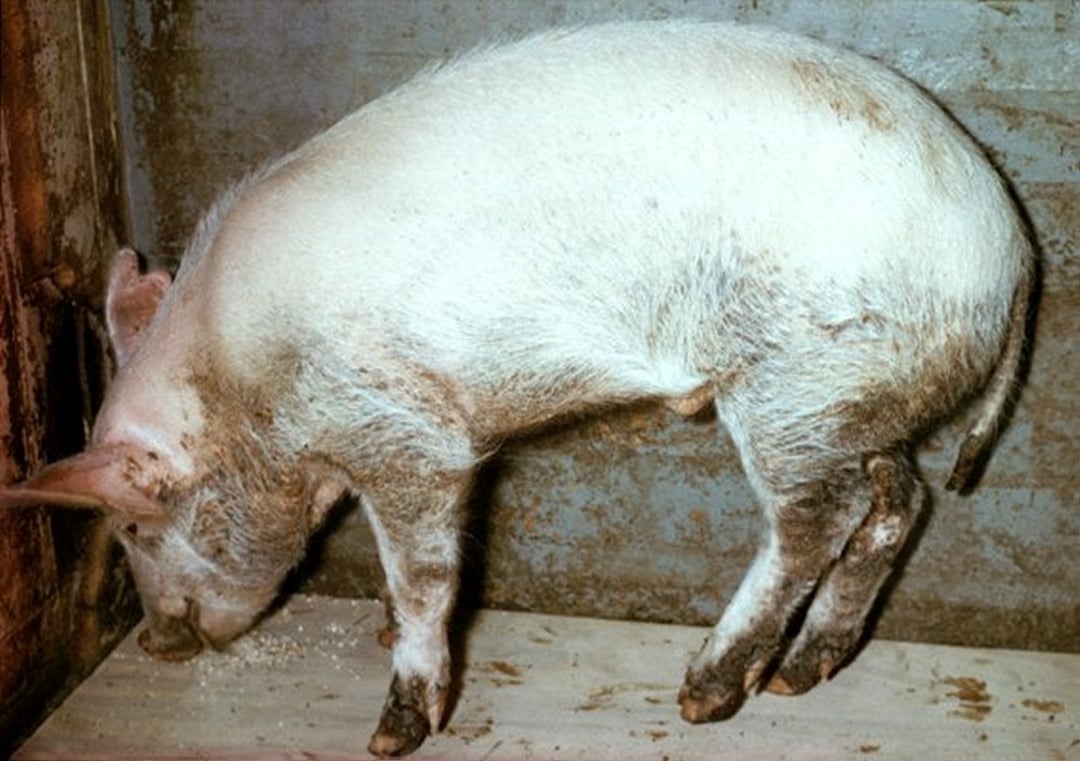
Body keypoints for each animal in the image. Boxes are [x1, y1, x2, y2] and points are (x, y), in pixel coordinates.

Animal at [0, 20, 1031, 758]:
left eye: (135, 526)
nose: (158, 644)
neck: (244, 380)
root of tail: (1012, 247)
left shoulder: (405, 430)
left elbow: (424, 571)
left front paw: (391, 733)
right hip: (857, 400)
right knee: (898, 498)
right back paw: (801, 674)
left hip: (798, 388)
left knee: (820, 518)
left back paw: (702, 695)